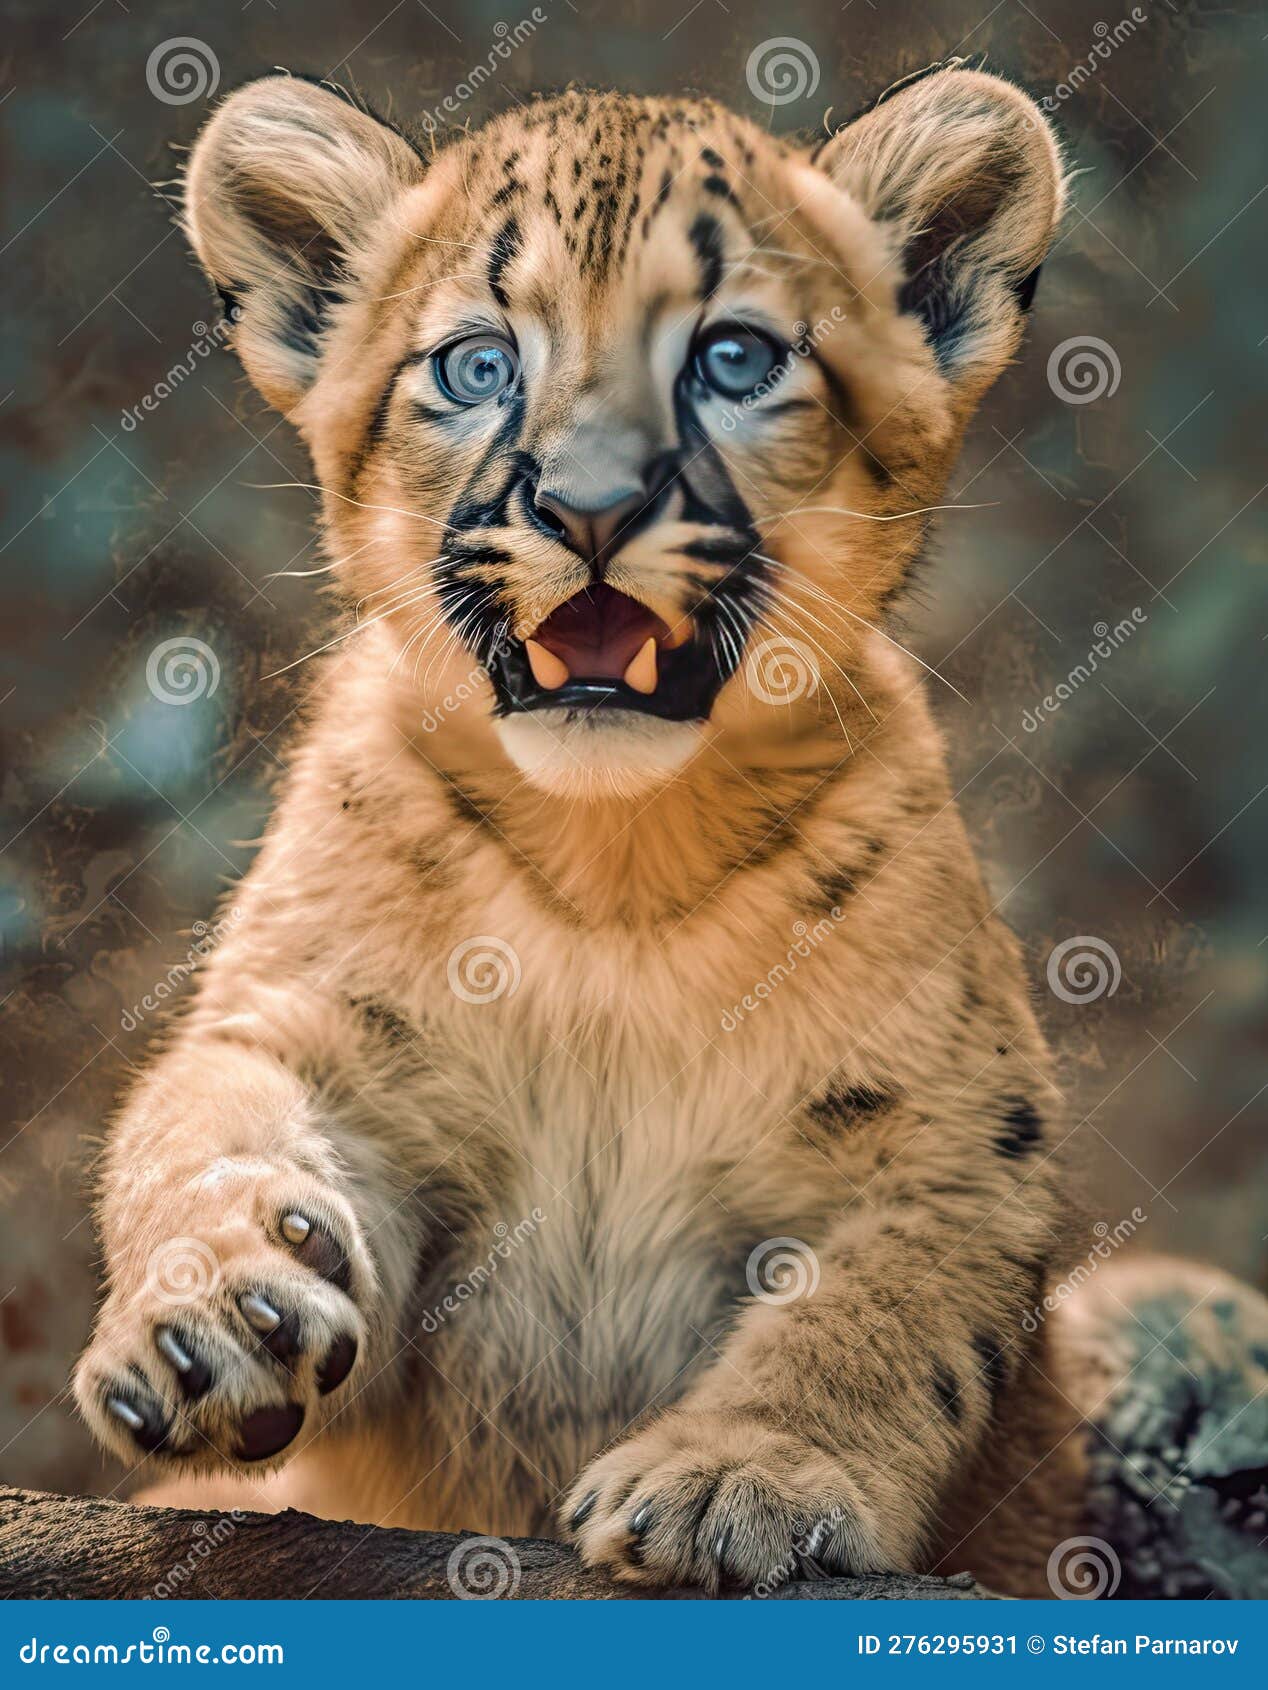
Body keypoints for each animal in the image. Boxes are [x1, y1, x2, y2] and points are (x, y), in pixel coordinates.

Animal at [73, 60, 1095, 1596]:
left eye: (731, 358)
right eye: (476, 365)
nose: (588, 505)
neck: (613, 865)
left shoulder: (953, 1129)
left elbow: (879, 1309)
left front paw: (739, 1476)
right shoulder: (313, 1027)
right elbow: (197, 1118)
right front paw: (210, 1328)